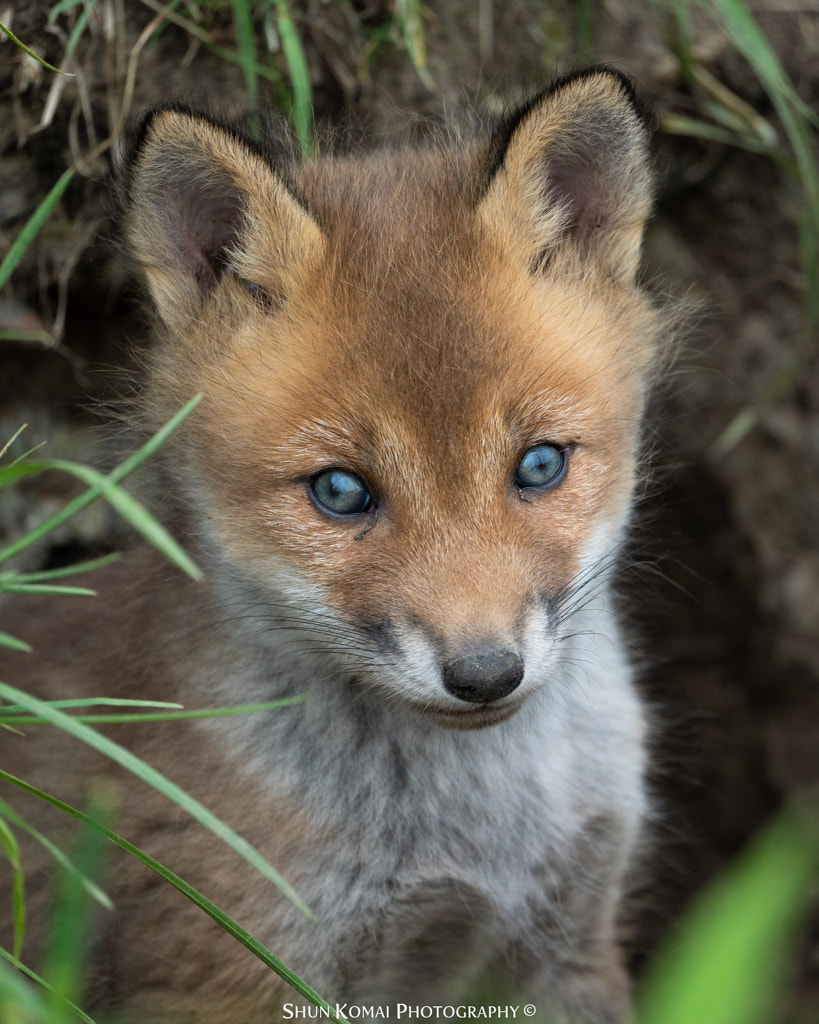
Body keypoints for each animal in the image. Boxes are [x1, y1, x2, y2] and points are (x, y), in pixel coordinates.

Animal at [0, 68, 662, 1024]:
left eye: (539, 465)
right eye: (341, 492)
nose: (484, 674)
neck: (475, 831)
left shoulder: (570, 941)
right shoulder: (224, 971)